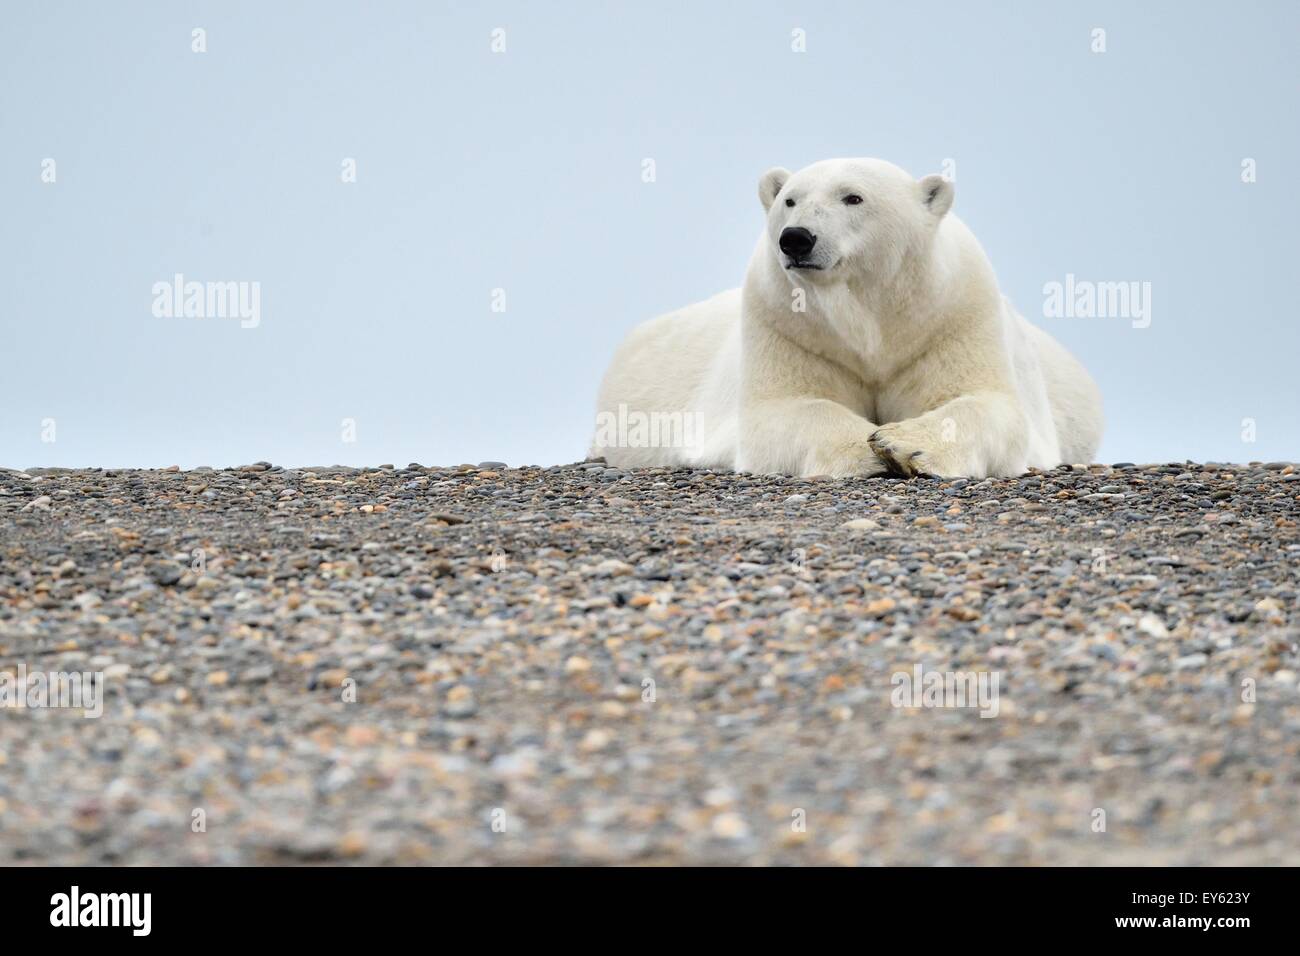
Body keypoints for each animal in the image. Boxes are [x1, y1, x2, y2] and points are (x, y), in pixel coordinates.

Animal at [591, 158, 1103, 478]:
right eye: (790, 200)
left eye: (853, 198)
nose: (796, 238)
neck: (873, 319)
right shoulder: (787, 325)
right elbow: (786, 406)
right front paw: (870, 448)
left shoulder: (952, 318)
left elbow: (986, 401)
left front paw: (903, 444)